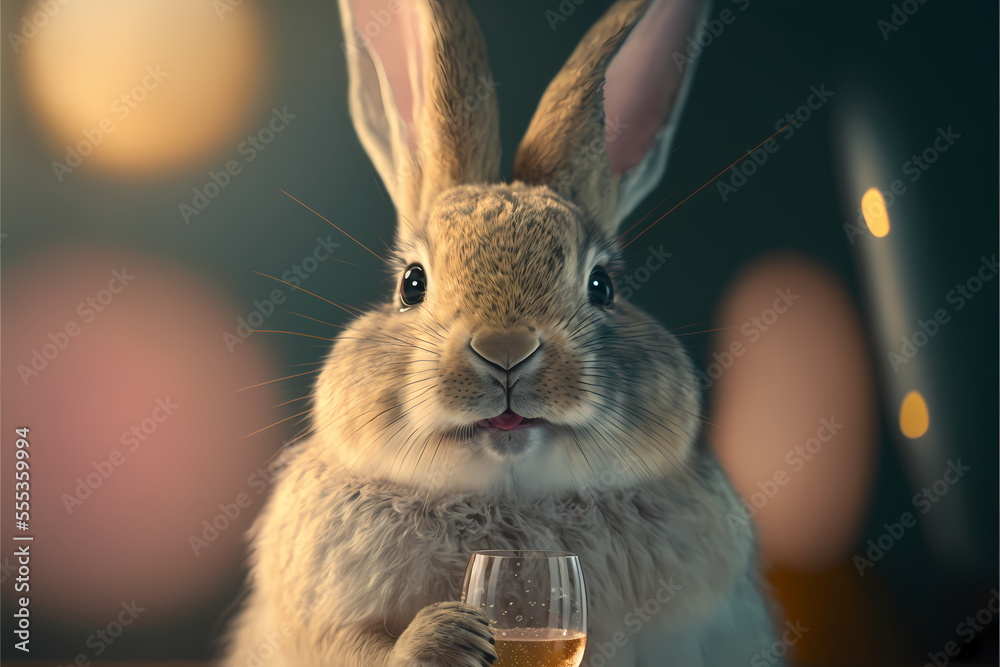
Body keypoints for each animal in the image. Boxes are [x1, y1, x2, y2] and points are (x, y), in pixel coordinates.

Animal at [224, 0, 783, 665]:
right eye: (412, 284)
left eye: (603, 286)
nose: (507, 351)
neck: (509, 500)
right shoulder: (322, 621)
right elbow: (357, 647)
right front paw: (442, 635)